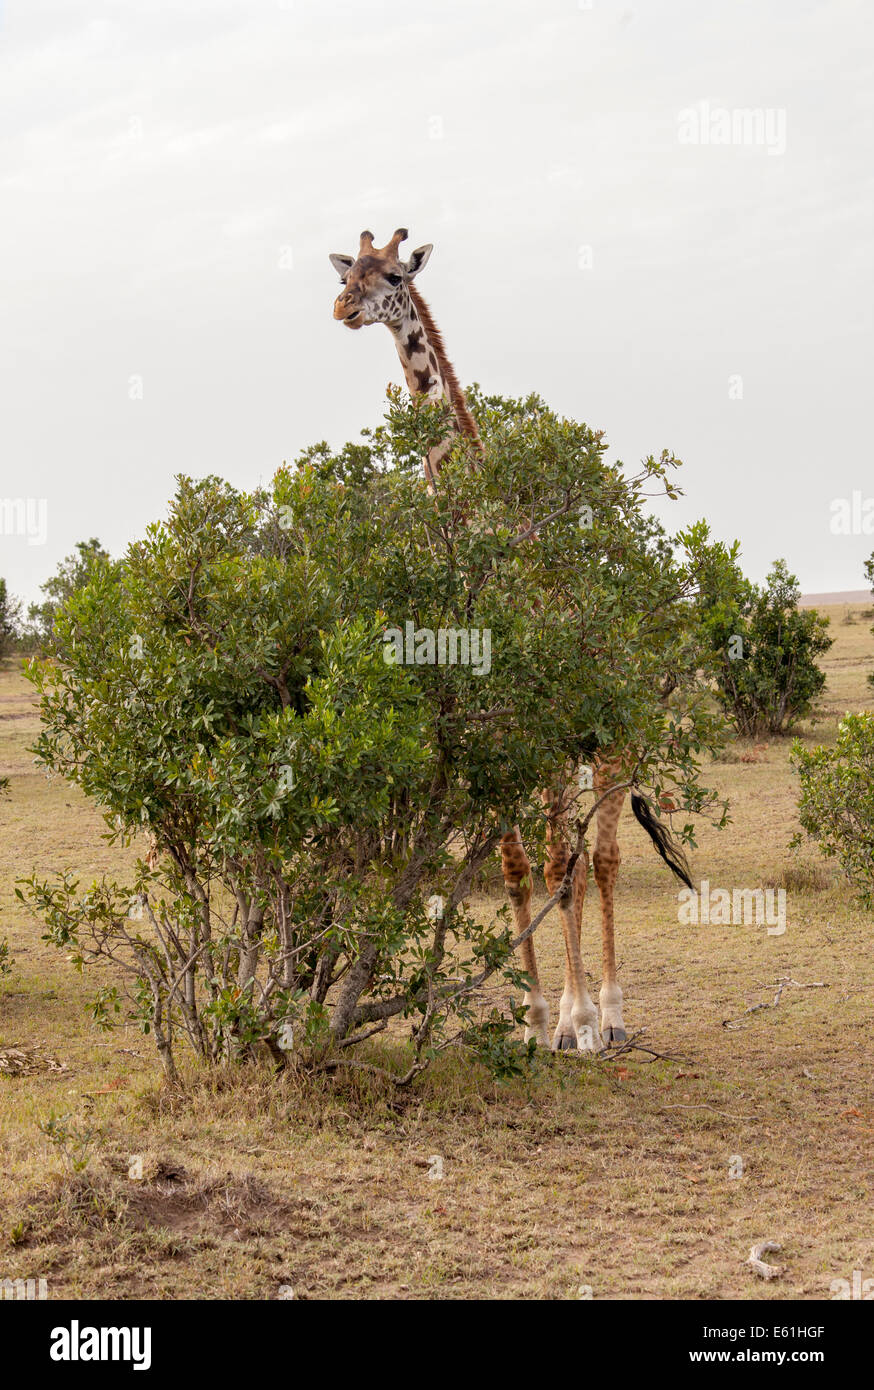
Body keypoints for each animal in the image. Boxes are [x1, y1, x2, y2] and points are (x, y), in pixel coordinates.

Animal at [329, 227, 691, 1051]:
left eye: (393, 276)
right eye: (346, 270)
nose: (341, 307)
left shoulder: (540, 732)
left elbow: (561, 865)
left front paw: (577, 1019)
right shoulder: (487, 742)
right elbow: (516, 867)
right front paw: (533, 1019)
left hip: (616, 741)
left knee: (602, 858)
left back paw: (611, 1013)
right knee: (575, 860)